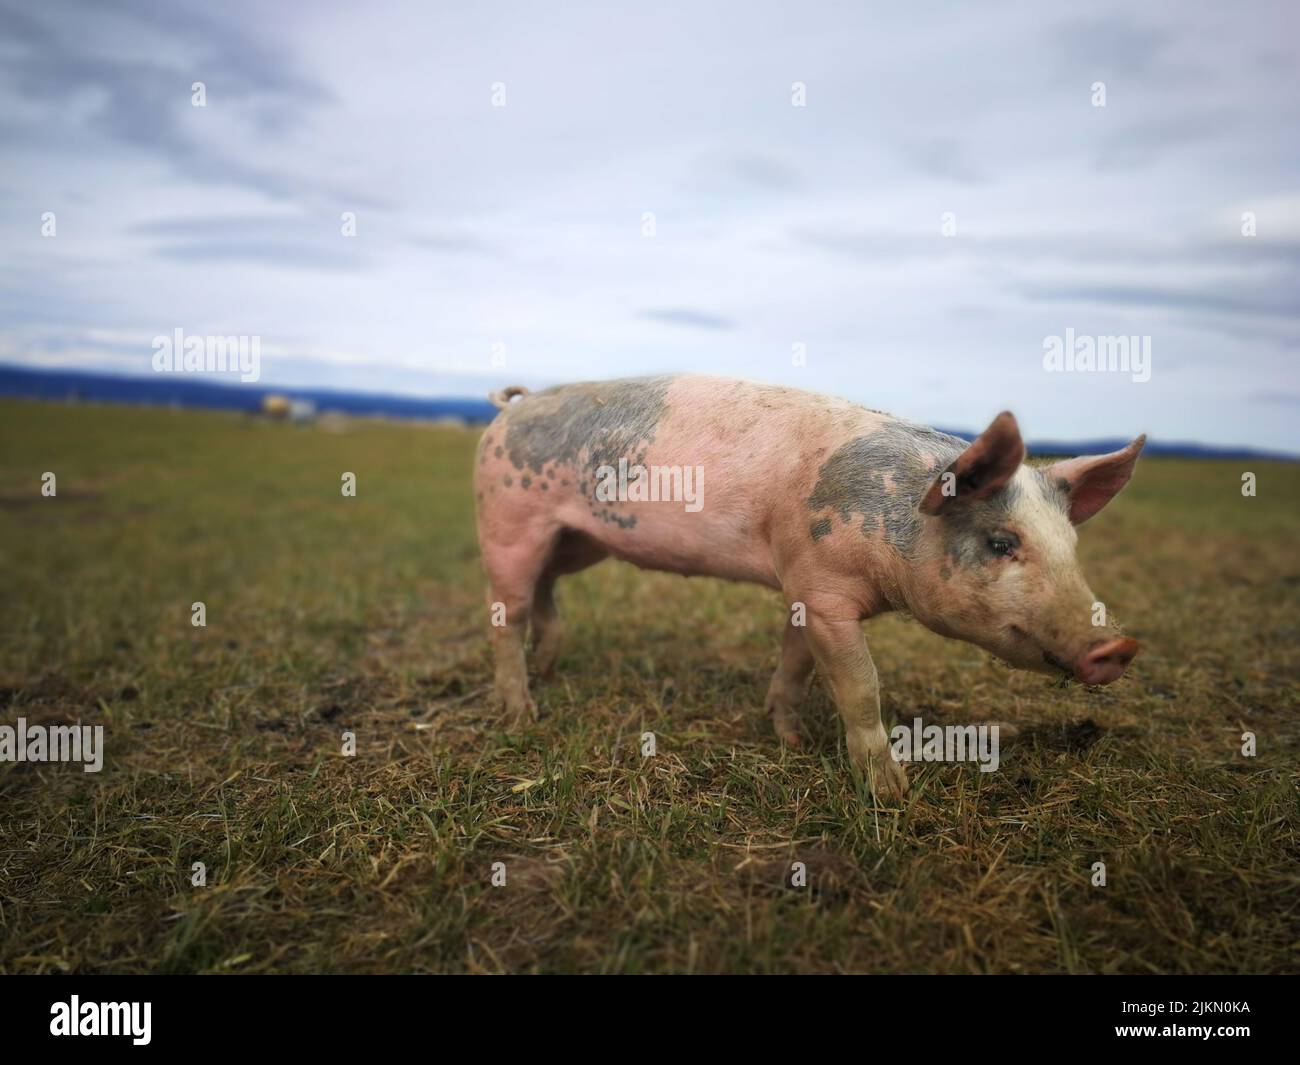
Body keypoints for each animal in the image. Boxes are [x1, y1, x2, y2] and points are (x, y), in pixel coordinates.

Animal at [474, 375, 1145, 802]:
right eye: (1002, 543)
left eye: (1071, 545)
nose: (1119, 647)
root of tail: (511, 408)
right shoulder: (823, 590)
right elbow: (860, 685)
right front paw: (892, 796)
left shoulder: (801, 586)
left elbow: (796, 662)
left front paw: (790, 739)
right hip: (508, 522)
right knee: (507, 613)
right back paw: (523, 711)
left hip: (578, 540)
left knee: (546, 590)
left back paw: (552, 666)